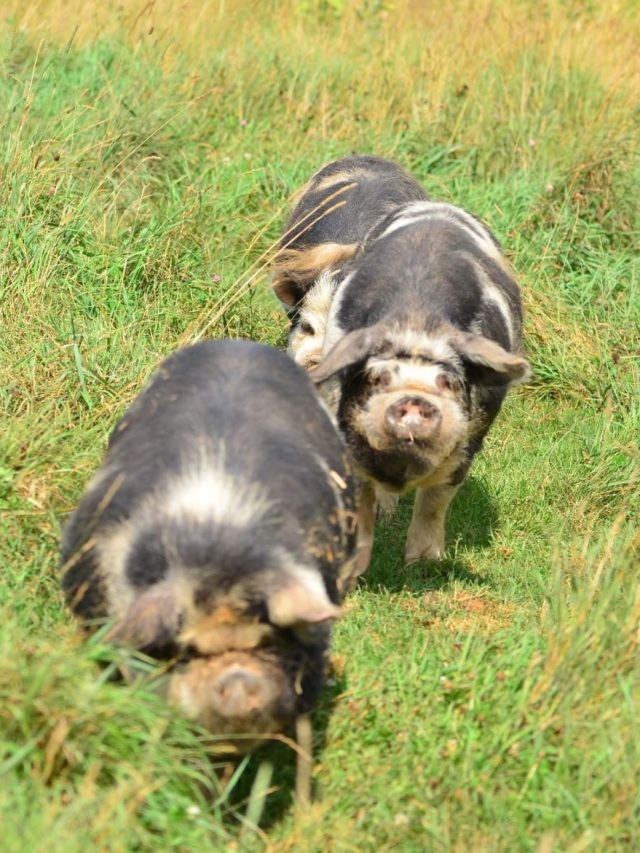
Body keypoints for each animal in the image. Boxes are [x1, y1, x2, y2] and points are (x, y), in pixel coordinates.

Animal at [310, 200, 531, 569]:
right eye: (377, 378)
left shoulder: (469, 440)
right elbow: (360, 499)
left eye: (449, 382)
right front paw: (356, 567)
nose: (414, 399)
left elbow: (436, 497)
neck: (417, 325)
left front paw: (424, 563)